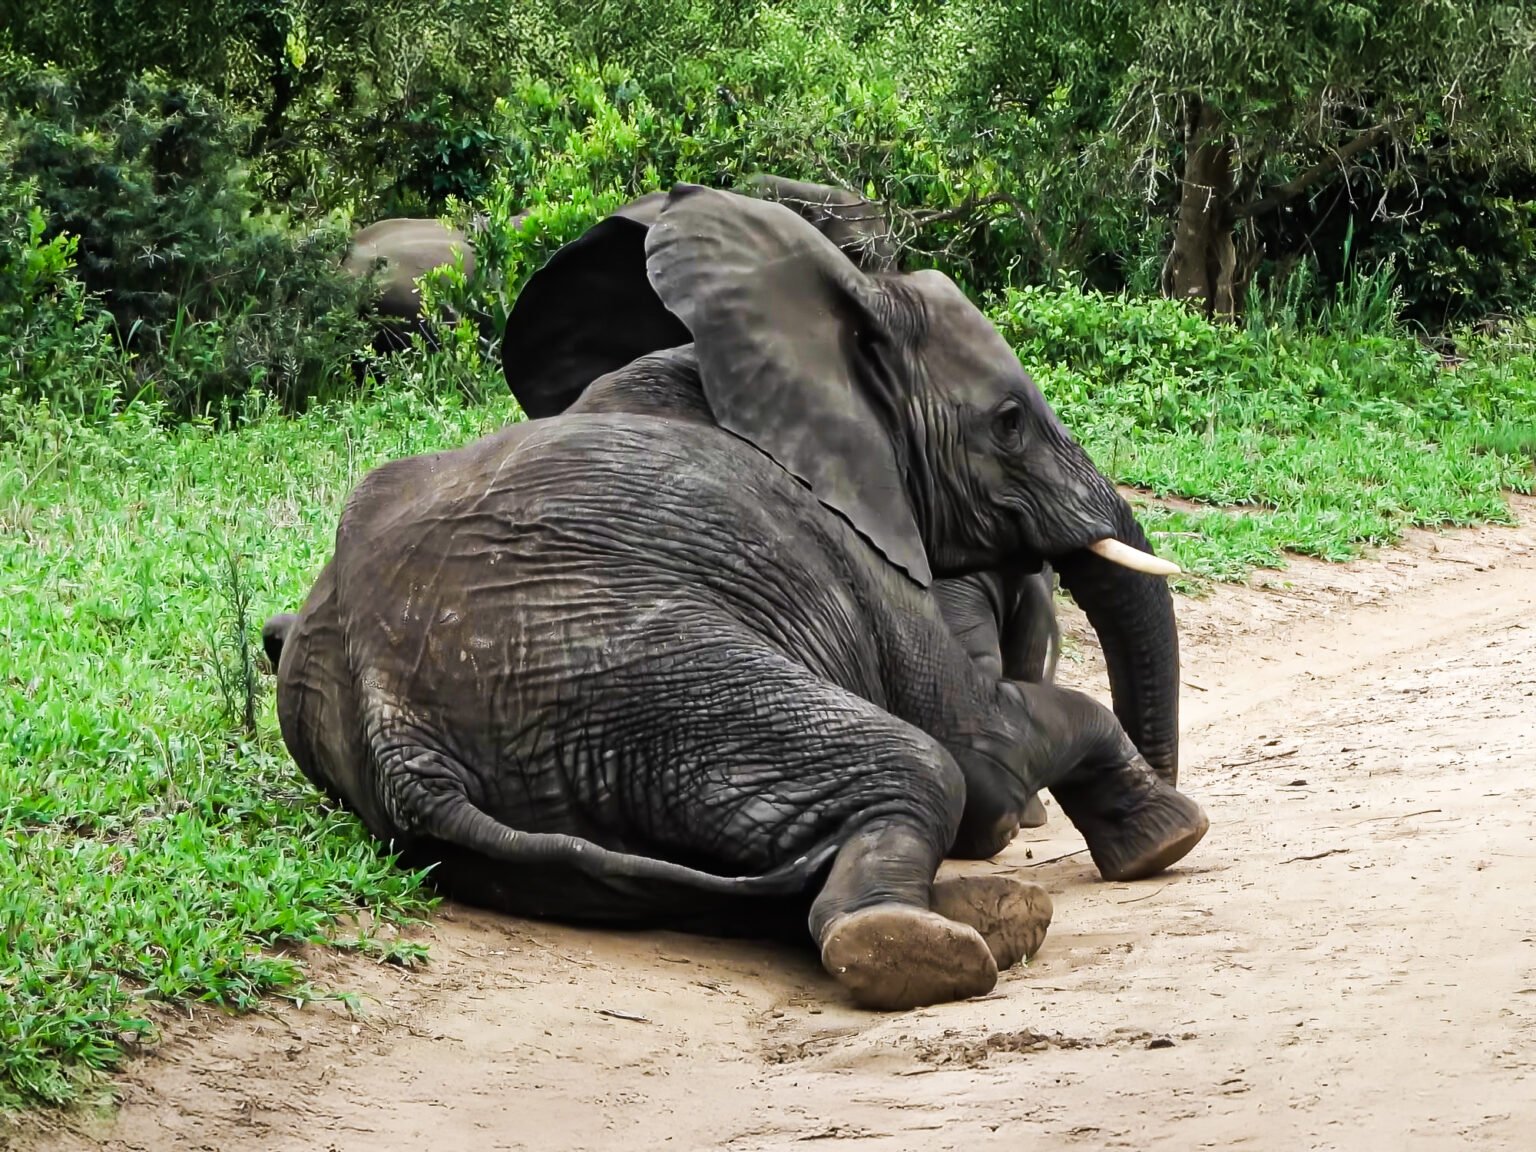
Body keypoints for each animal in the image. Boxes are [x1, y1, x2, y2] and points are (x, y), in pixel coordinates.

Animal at [264, 185, 1207, 1012]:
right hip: (630, 672)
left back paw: (997, 919)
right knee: (921, 767)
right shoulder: (856, 546)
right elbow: (989, 749)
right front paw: (1168, 838)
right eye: (1008, 423)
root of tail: (394, 736)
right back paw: (921, 944)